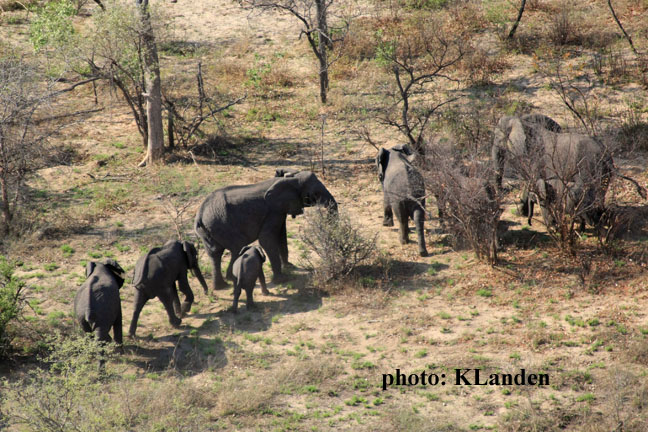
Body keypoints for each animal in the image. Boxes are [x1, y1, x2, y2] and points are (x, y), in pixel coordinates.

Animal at [195, 171, 337, 290]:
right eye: (315, 194)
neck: (290, 179)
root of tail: (200, 215)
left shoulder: (279, 209)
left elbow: (281, 235)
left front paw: (289, 266)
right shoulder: (273, 210)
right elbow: (267, 239)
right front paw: (283, 280)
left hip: (208, 231)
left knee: (215, 253)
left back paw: (222, 285)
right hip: (221, 226)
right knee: (237, 247)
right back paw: (230, 279)